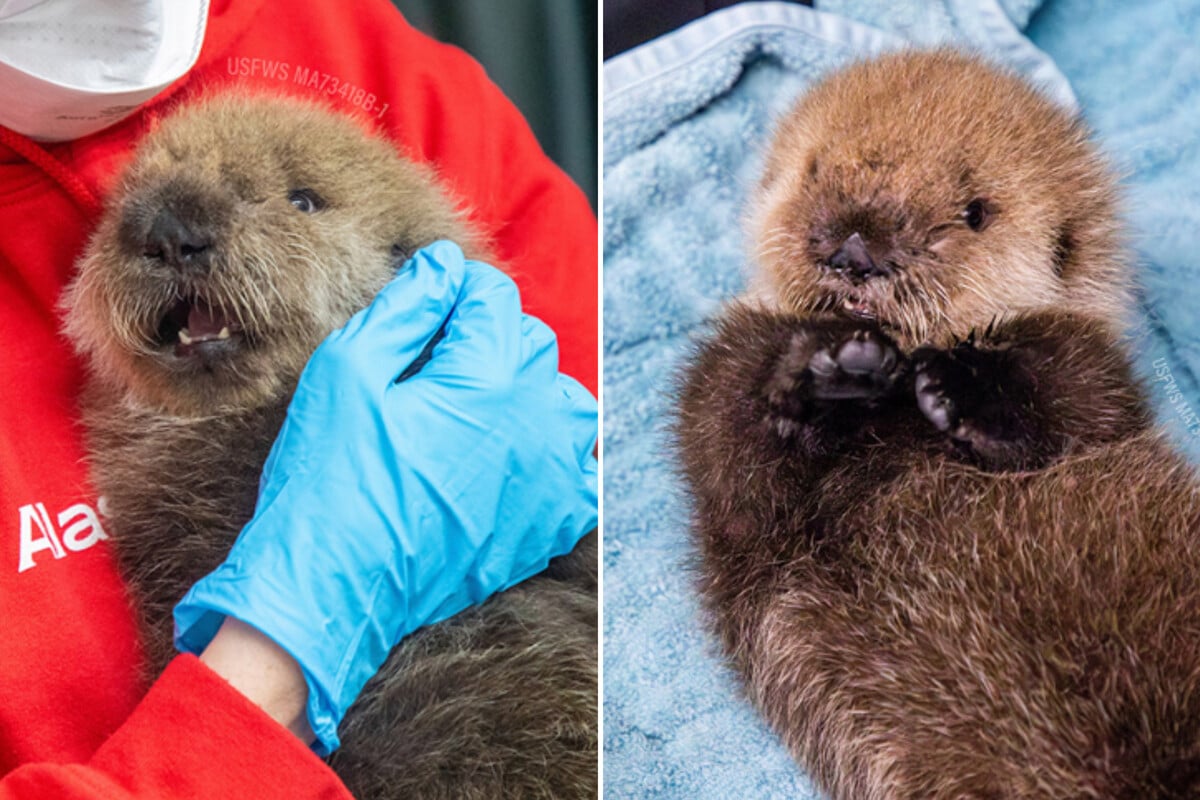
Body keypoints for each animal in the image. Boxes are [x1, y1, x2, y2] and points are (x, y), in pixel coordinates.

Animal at [675, 50, 1200, 799]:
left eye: (975, 211)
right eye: (814, 171)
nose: (855, 249)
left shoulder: (1092, 366)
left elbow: (1074, 396)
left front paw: (957, 387)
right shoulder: (726, 383)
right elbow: (733, 453)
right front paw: (830, 377)